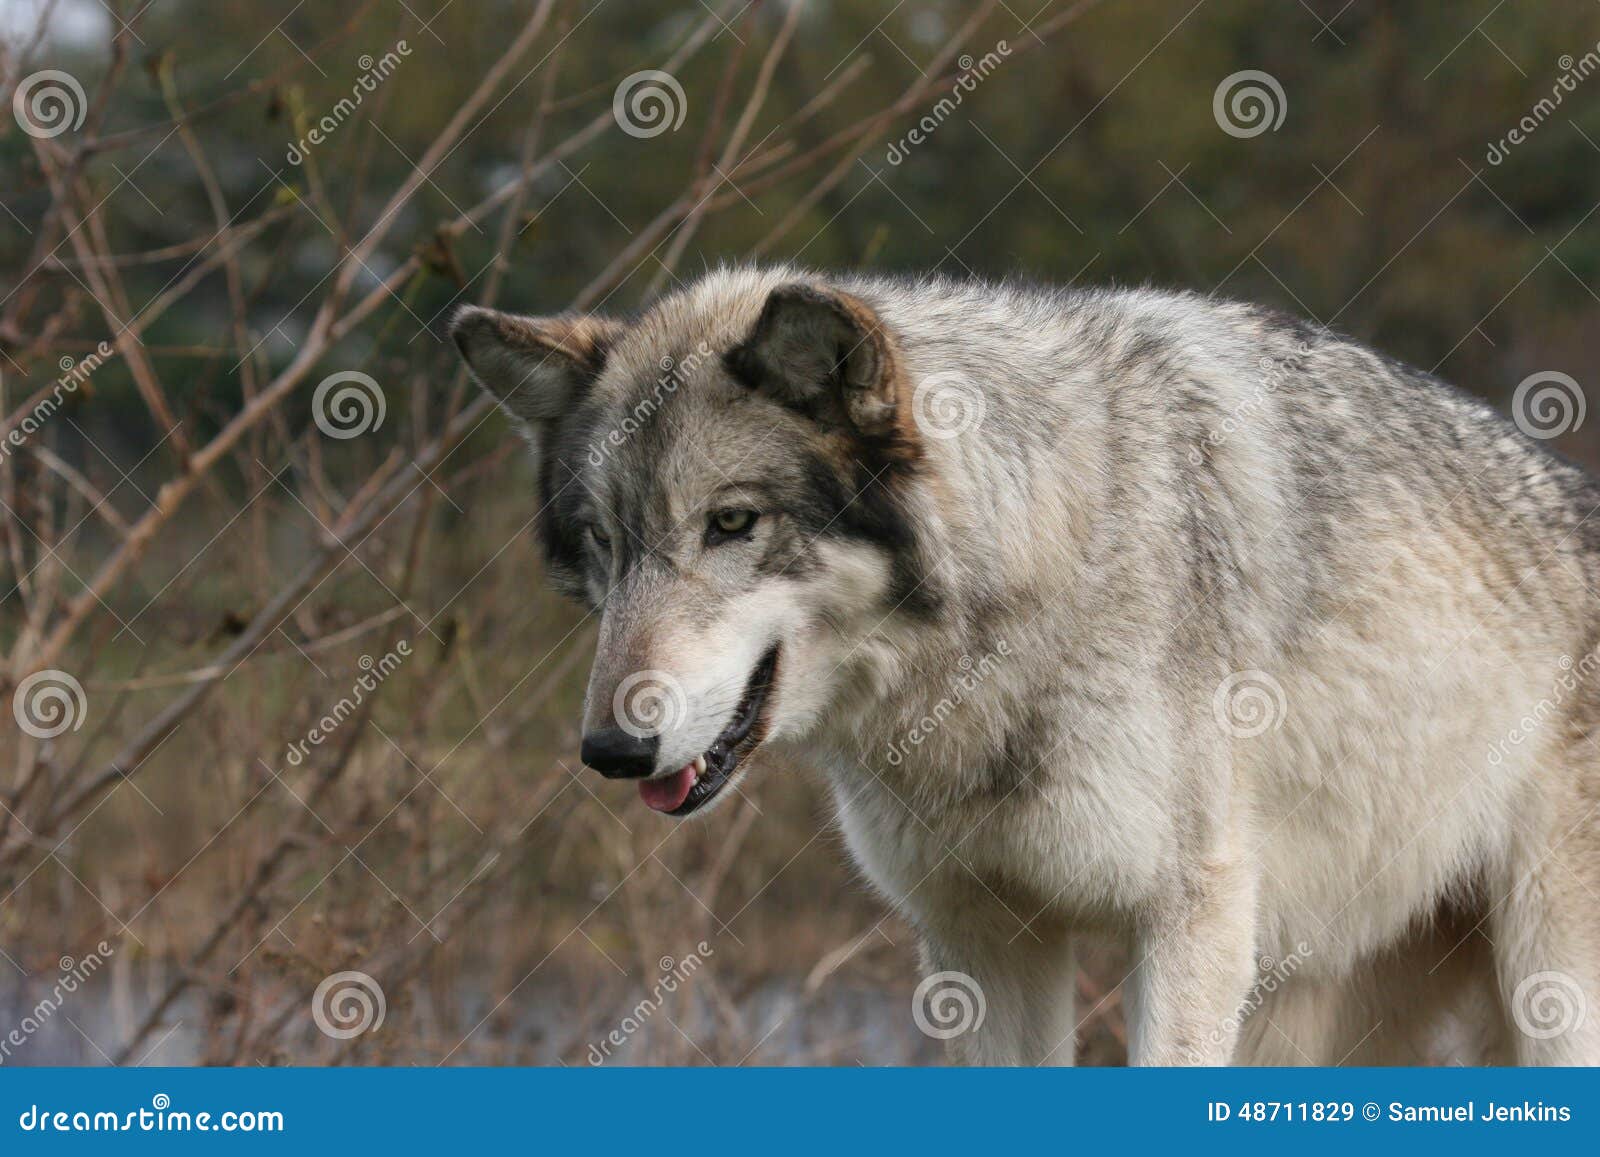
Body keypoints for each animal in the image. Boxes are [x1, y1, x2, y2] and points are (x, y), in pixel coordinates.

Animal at [452, 267, 1600, 1066]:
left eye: (731, 523)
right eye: (602, 543)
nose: (610, 746)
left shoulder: (1189, 926)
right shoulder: (982, 940)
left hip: (1543, 993)